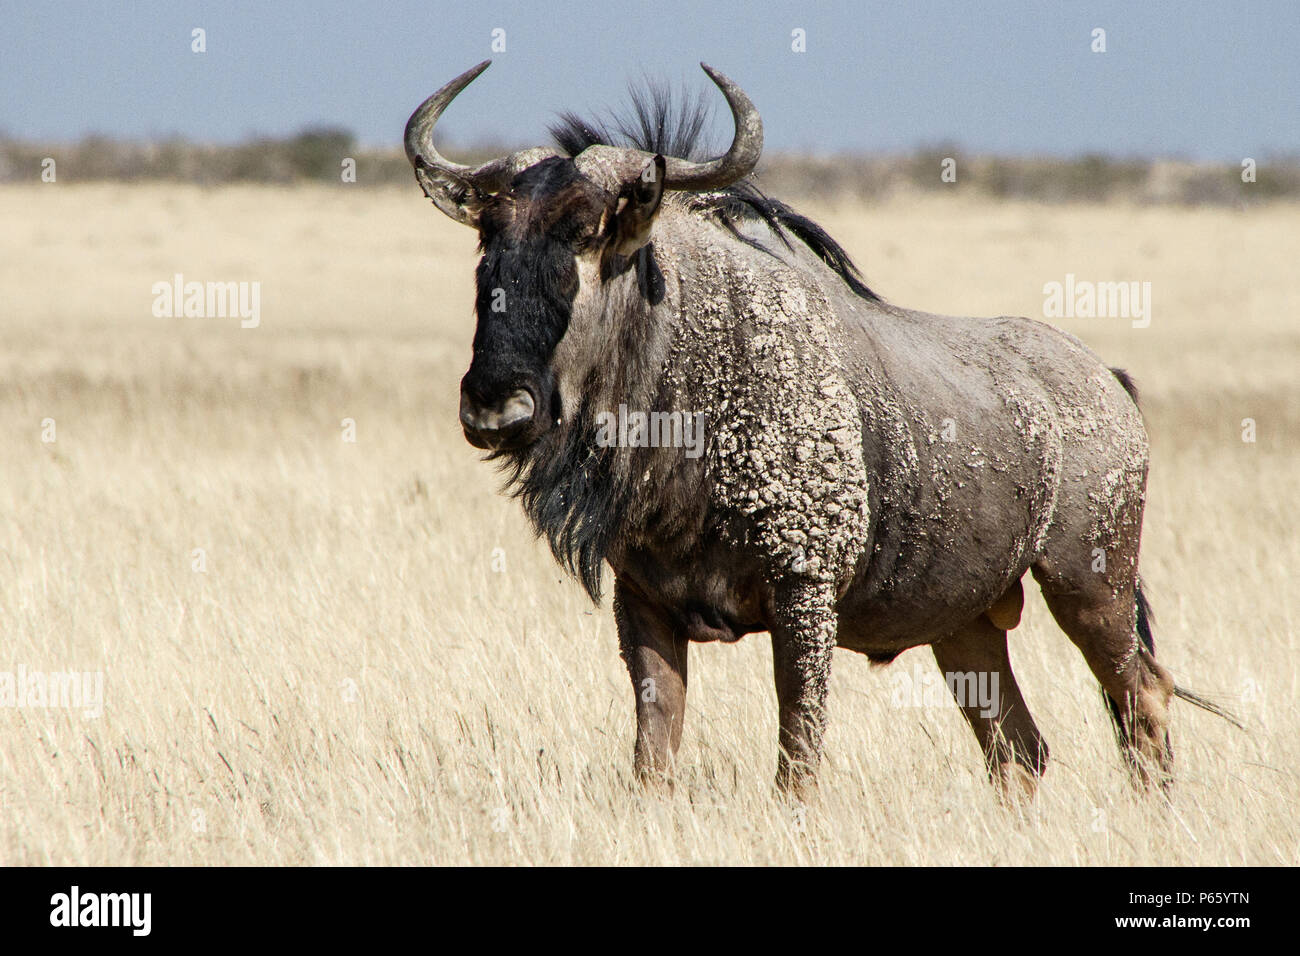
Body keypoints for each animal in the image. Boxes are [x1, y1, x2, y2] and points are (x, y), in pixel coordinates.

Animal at [404, 61, 1230, 801]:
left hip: (1090, 588)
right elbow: (651, 762)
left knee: (1143, 699)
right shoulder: (643, 604)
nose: (494, 407)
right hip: (967, 627)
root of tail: (1108, 382)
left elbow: (795, 766)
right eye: (488, 242)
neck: (696, 389)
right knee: (1019, 752)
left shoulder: (804, 599)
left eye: (585, 236)